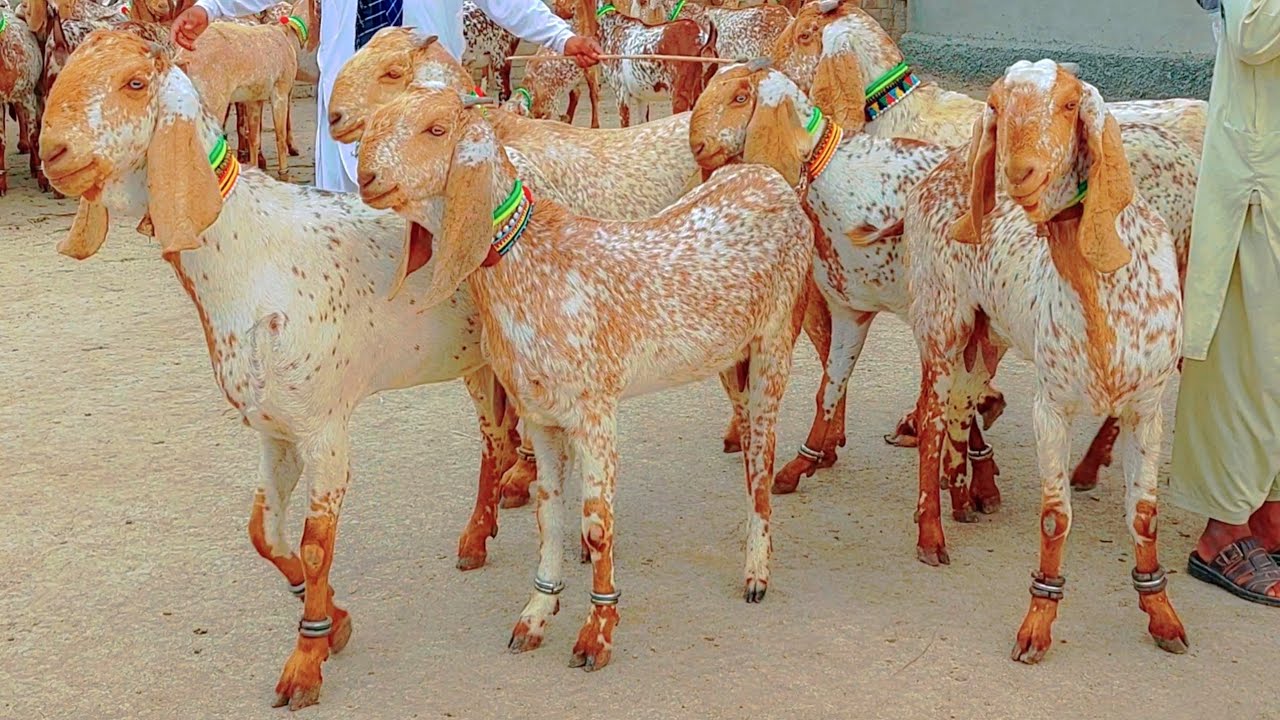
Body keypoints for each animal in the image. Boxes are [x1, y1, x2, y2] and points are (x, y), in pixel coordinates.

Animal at [39, 29, 533, 707]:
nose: (50, 152)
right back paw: (488, 524)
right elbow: (263, 534)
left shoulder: (326, 427)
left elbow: (316, 544)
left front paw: (307, 659)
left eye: (134, 83)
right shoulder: (275, 428)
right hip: (478, 362)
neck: (253, 255)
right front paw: (334, 620)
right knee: (498, 439)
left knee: (500, 439)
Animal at [357, 83, 812, 672]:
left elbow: (597, 526)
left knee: (763, 454)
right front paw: (535, 614)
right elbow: (548, 514)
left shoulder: (595, 411)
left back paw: (756, 571)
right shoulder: (541, 415)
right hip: (729, 359)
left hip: (774, 343)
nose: (365, 174)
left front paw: (597, 633)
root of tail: (768, 176)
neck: (530, 262)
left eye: (436, 129)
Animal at [905, 60, 1186, 661]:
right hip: (943, 320)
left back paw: (964, 495)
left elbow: (1145, 515)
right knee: (933, 415)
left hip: (988, 336)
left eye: (1068, 104)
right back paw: (931, 532)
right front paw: (1037, 624)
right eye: (997, 105)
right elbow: (1056, 517)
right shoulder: (1050, 407)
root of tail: (937, 169)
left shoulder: (1147, 408)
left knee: (963, 403)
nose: (1020, 174)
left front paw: (1162, 615)